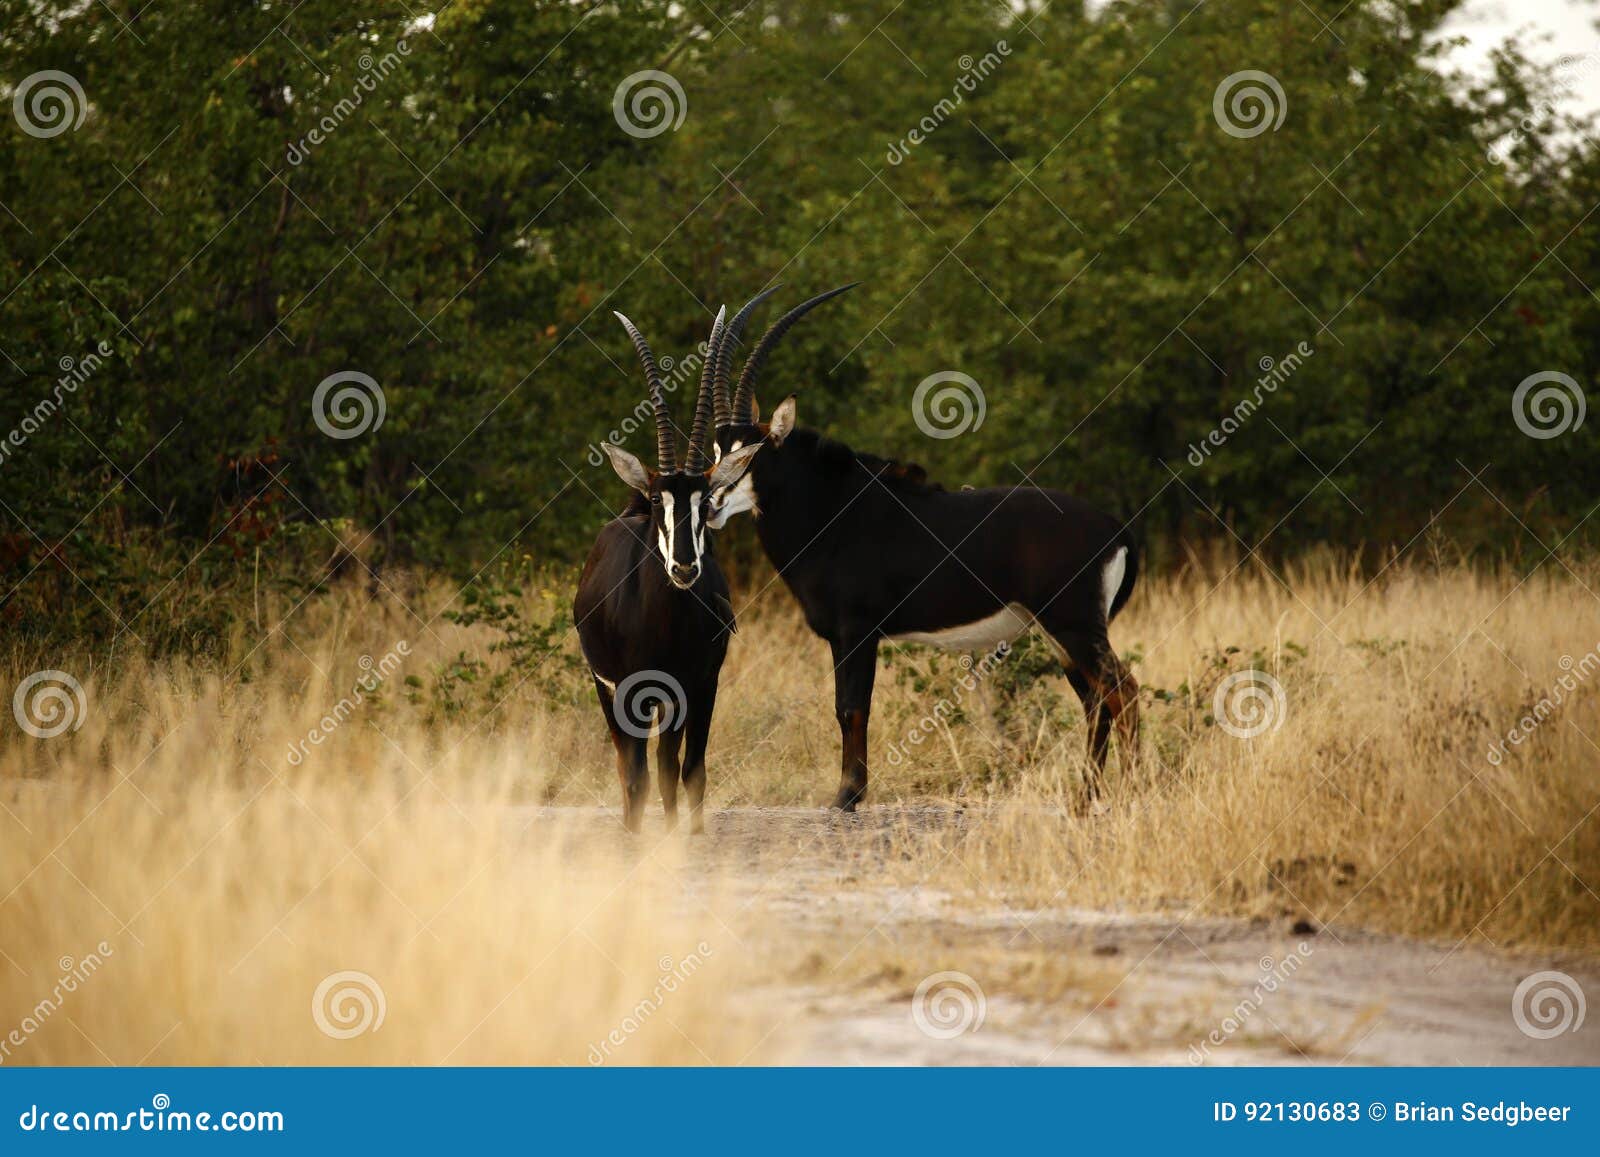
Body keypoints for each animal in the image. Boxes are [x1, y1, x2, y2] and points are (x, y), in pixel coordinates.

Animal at [572, 303, 774, 833]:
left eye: (705, 502)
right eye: (659, 501)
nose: (684, 568)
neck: (665, 620)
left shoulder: (698, 687)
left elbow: (685, 770)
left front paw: (686, 834)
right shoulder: (631, 691)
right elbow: (640, 774)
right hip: (609, 692)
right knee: (627, 765)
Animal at [709, 286, 1141, 811]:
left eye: (749, 454)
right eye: (717, 450)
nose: (708, 502)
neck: (831, 510)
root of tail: (1117, 530)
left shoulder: (857, 632)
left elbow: (850, 708)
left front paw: (847, 796)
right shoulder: (847, 636)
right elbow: (846, 709)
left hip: (1074, 625)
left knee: (1123, 691)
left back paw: (1134, 793)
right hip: (1061, 634)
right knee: (1097, 701)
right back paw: (1084, 801)